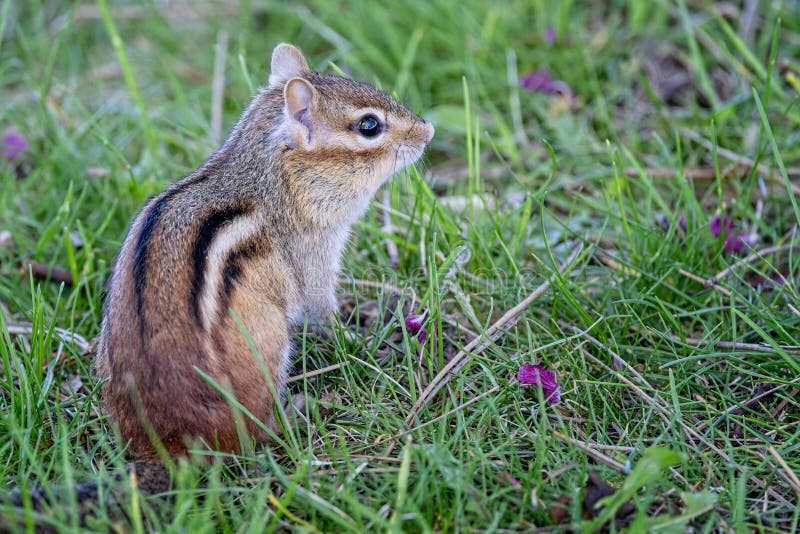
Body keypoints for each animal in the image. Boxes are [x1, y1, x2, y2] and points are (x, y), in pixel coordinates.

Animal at [93, 43, 434, 460]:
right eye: (369, 126)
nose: (428, 130)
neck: (275, 179)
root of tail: (167, 442)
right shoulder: (314, 258)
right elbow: (323, 312)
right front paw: (361, 341)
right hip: (270, 339)